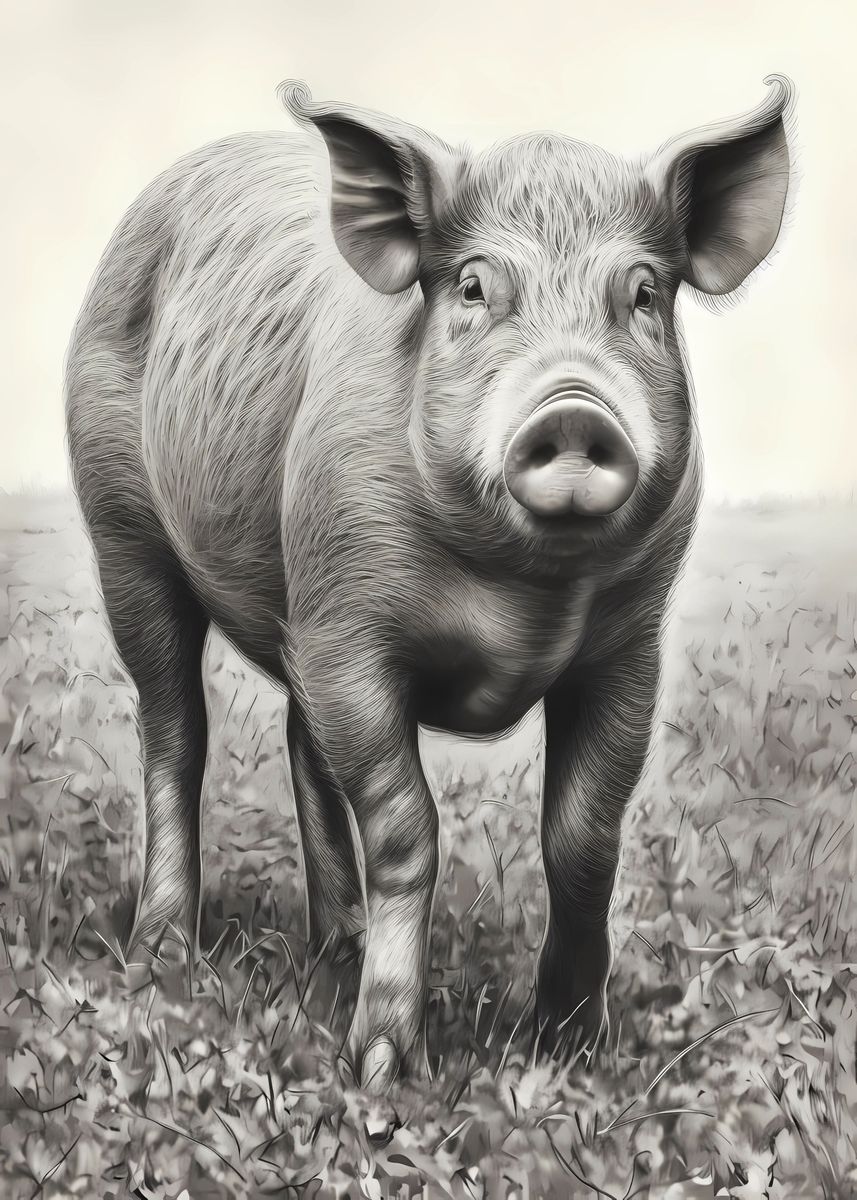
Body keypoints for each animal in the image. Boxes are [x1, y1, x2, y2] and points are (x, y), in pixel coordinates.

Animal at [65, 76, 793, 1092]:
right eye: (475, 287)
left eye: (643, 293)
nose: (574, 410)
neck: (521, 596)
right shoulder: (349, 631)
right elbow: (406, 827)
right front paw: (380, 1069)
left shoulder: (628, 648)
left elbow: (583, 838)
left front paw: (571, 1049)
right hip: (123, 531)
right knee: (175, 731)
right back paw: (165, 956)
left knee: (297, 739)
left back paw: (337, 941)